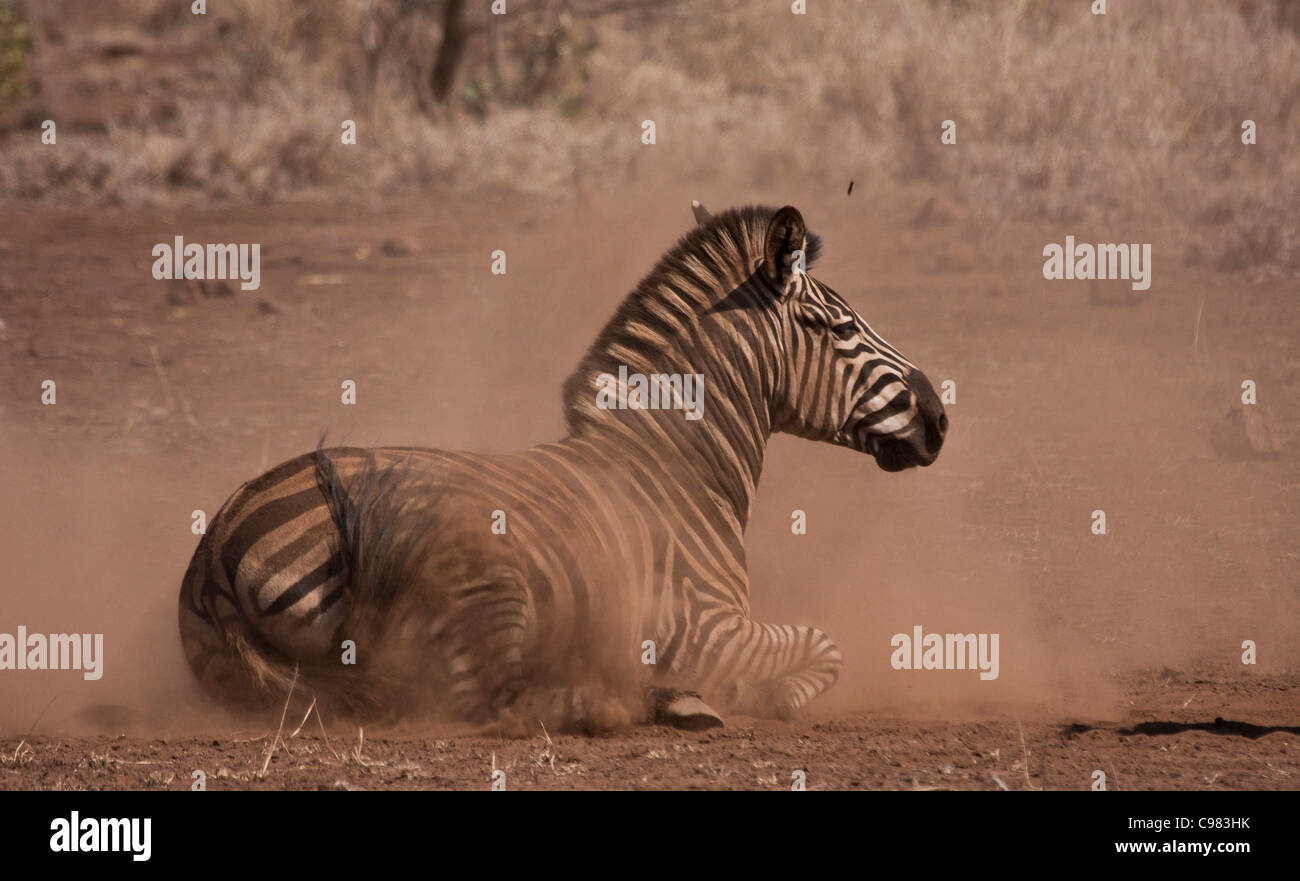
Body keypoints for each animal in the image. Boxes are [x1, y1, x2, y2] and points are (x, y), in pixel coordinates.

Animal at [177, 203, 947, 733]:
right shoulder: (706, 626)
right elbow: (825, 646)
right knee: (482, 700)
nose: (940, 416)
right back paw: (632, 701)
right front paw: (743, 694)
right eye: (841, 328)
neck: (680, 470)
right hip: (489, 581)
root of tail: (215, 544)